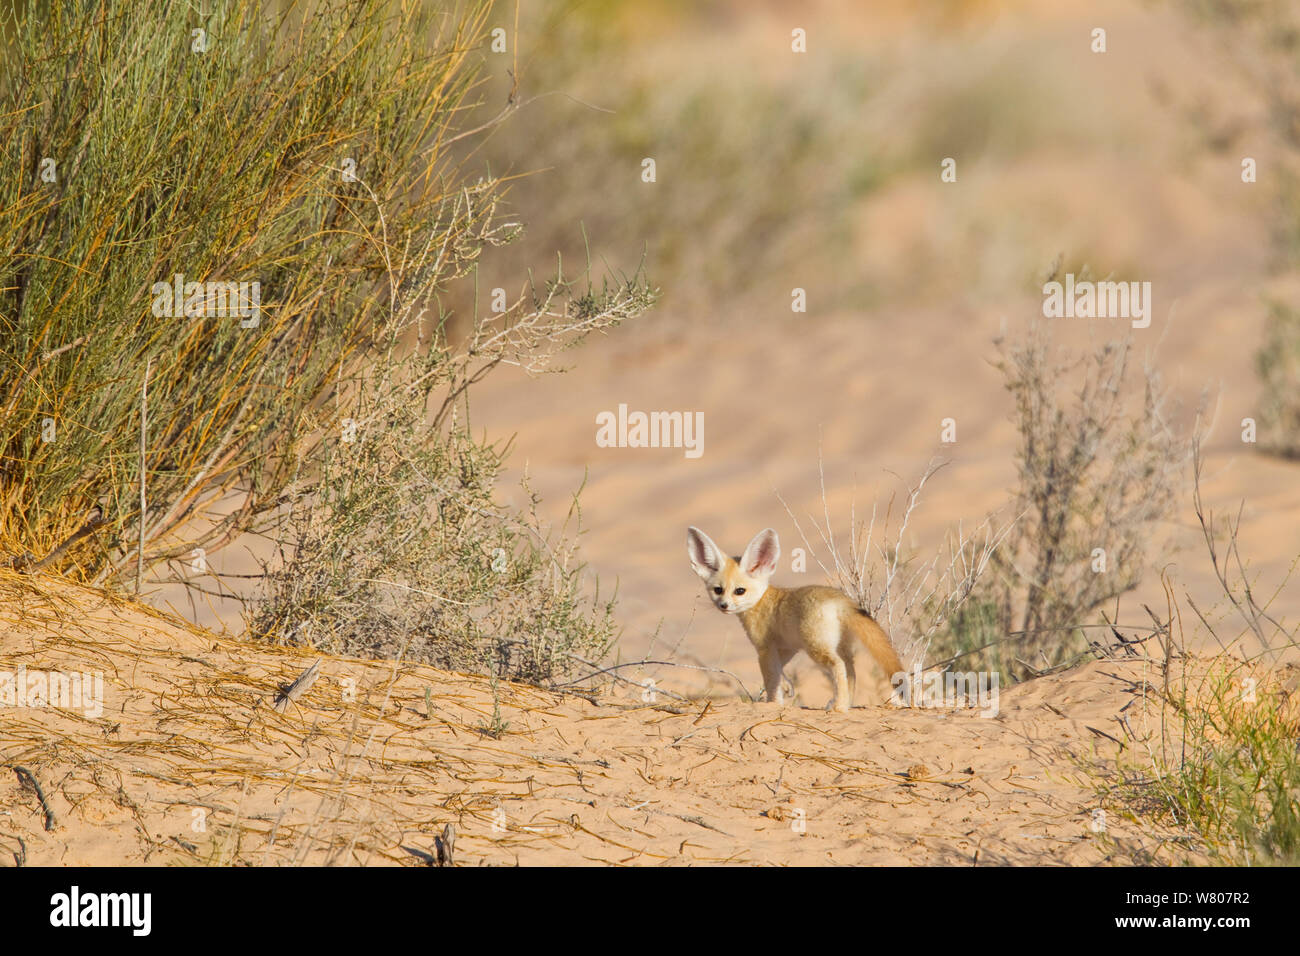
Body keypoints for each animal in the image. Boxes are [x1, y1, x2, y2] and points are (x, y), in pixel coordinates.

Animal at [687, 526, 905, 712]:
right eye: (718, 590)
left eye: (739, 591)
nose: (723, 606)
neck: (762, 601)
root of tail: (840, 599)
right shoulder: (787, 648)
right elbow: (779, 673)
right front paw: (786, 687)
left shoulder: (765, 649)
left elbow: (771, 679)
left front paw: (773, 703)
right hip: (841, 647)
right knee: (851, 672)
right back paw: (844, 703)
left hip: (816, 648)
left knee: (839, 666)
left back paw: (839, 707)